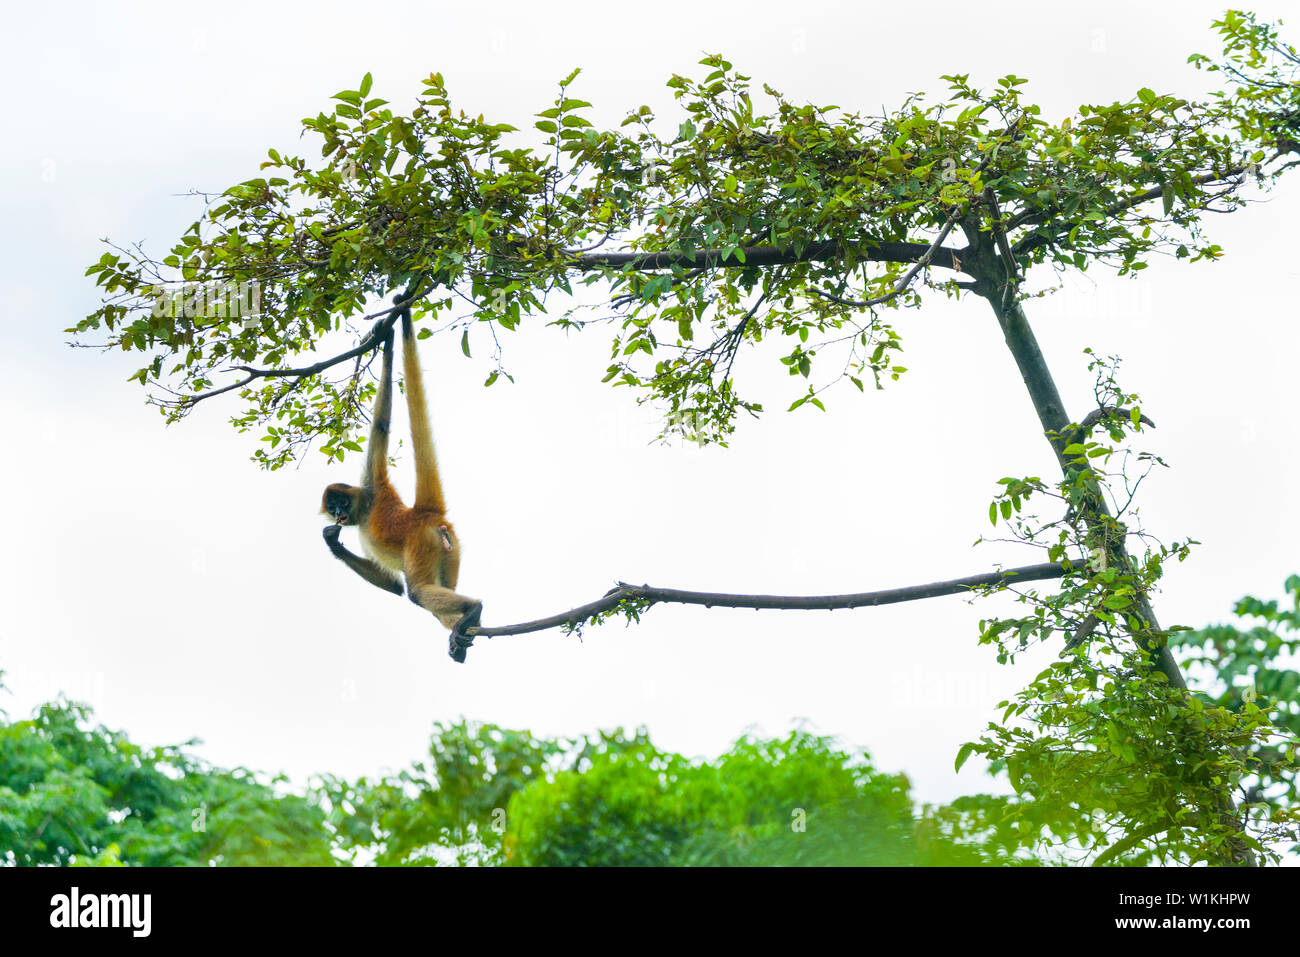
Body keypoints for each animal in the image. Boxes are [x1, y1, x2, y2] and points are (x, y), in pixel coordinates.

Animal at [321, 303, 483, 662]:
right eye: (332, 506)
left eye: (340, 501)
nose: (337, 512)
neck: (364, 508)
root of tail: (421, 514)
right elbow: (393, 586)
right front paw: (331, 540)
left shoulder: (372, 482)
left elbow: (381, 425)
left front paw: (388, 340)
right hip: (449, 549)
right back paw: (460, 633)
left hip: (421, 543)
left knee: (418, 591)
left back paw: (473, 609)